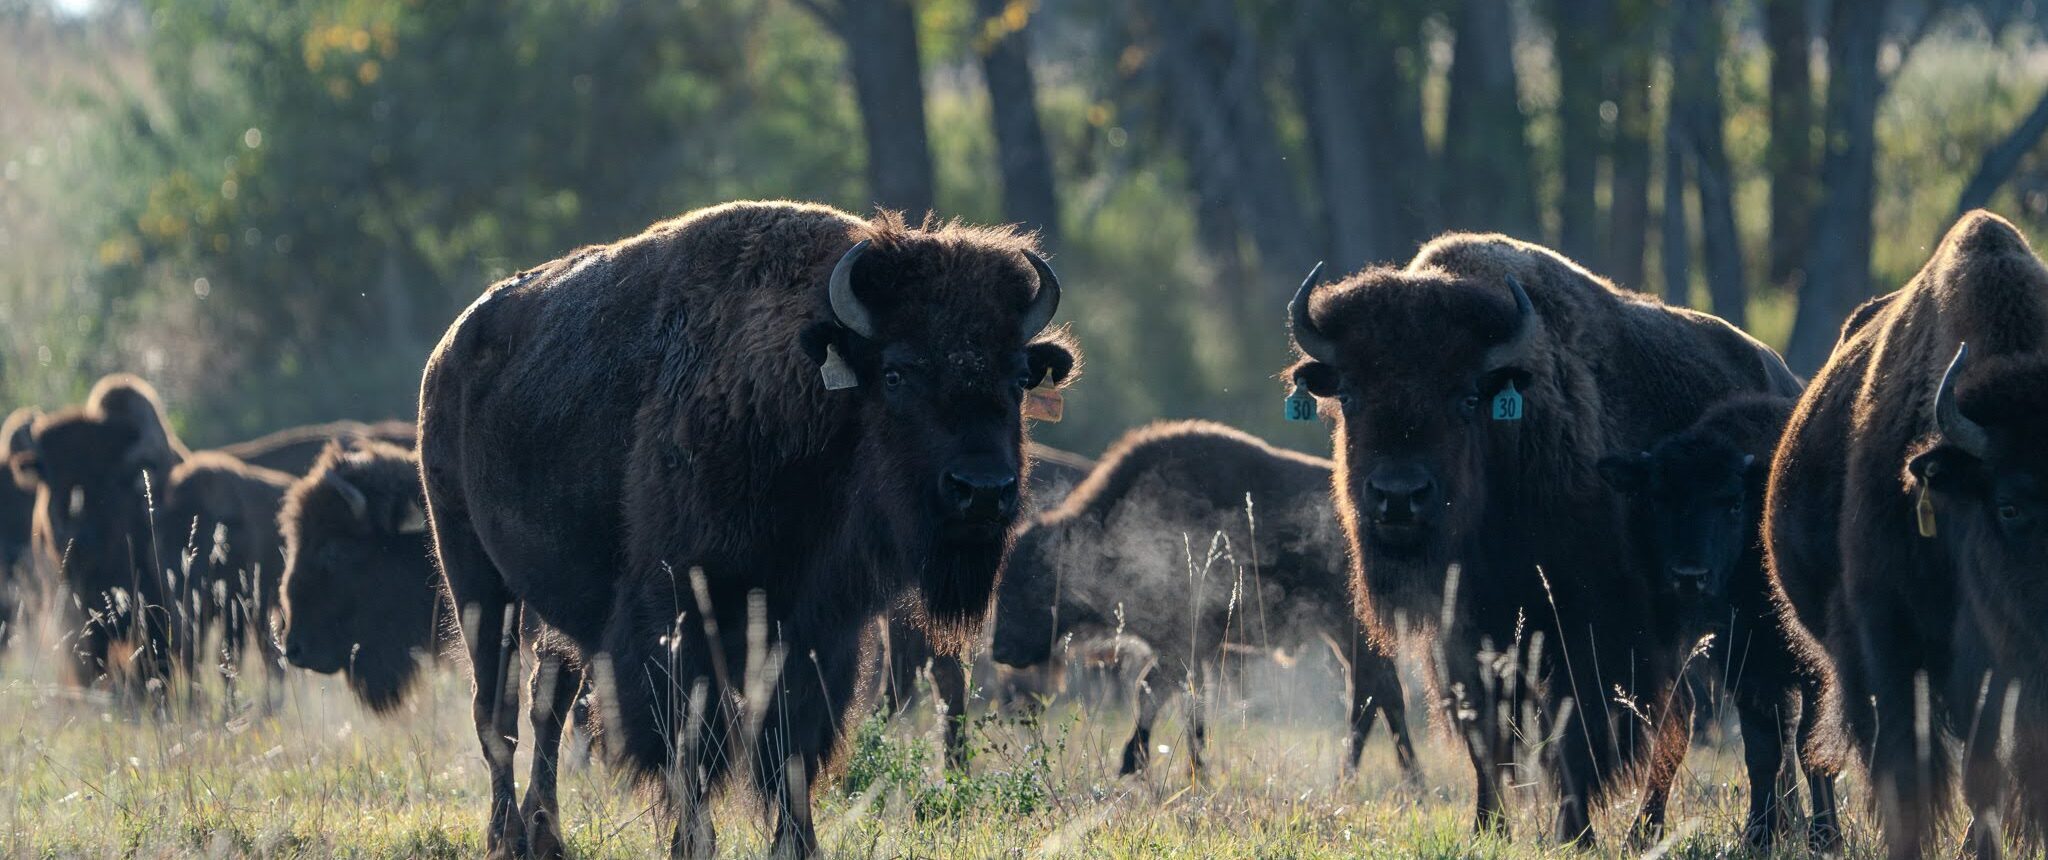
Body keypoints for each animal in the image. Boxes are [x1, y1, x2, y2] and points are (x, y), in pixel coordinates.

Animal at [417, 201, 1077, 858]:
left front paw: (799, 844)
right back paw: (507, 837)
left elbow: (791, 749)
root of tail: (447, 353)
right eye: (895, 373)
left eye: (1018, 379)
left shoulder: (820, 634)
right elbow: (693, 750)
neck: (806, 399)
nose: (982, 491)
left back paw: (545, 835)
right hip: (475, 574)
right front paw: (693, 843)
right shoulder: (679, 621)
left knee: (546, 701)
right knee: (496, 713)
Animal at [990, 420, 1419, 780]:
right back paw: (1383, 779)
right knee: (1376, 691)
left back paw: (1382, 778)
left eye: (1036, 579)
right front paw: (1156, 766)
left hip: (1351, 628)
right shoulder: (1182, 649)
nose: (999, 650)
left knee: (1375, 692)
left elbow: (1164, 696)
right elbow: (1171, 699)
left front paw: (1158, 766)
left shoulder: (1186, 645)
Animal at [1286, 236, 1801, 842]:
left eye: (1466, 398)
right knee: (1701, 721)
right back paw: (1656, 831)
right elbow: (1488, 739)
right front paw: (1488, 829)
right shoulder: (1468, 639)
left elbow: (1572, 741)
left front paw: (1574, 834)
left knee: (1743, 723)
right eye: (1349, 394)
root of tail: (1786, 379)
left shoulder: (1585, 634)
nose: (1398, 497)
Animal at [1600, 393, 1837, 846]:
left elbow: (1811, 747)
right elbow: (1763, 750)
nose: (1689, 576)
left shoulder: (1816, 670)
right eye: (1658, 497)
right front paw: (1759, 836)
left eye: (1733, 502)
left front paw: (1826, 839)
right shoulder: (1746, 666)